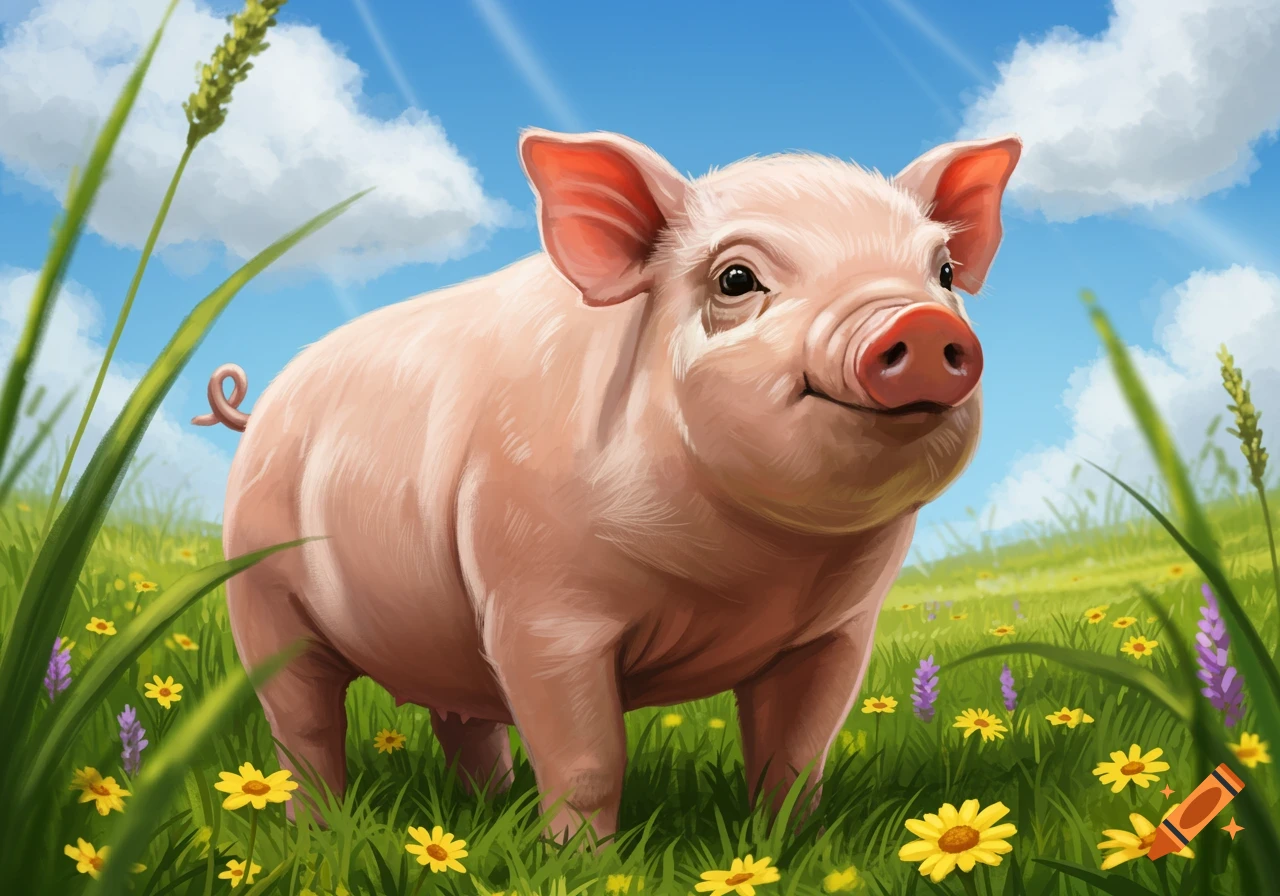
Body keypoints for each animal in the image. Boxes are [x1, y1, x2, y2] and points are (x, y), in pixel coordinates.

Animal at [193, 127, 1021, 845]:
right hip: (262, 591)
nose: (917, 323)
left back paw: (486, 815)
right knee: (304, 727)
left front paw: (790, 848)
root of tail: (260, 407)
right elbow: (589, 761)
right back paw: (320, 834)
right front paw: (580, 863)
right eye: (737, 278)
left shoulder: (838, 628)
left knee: (465, 723)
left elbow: (795, 755)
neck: (748, 567)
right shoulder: (539, 610)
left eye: (944, 274)